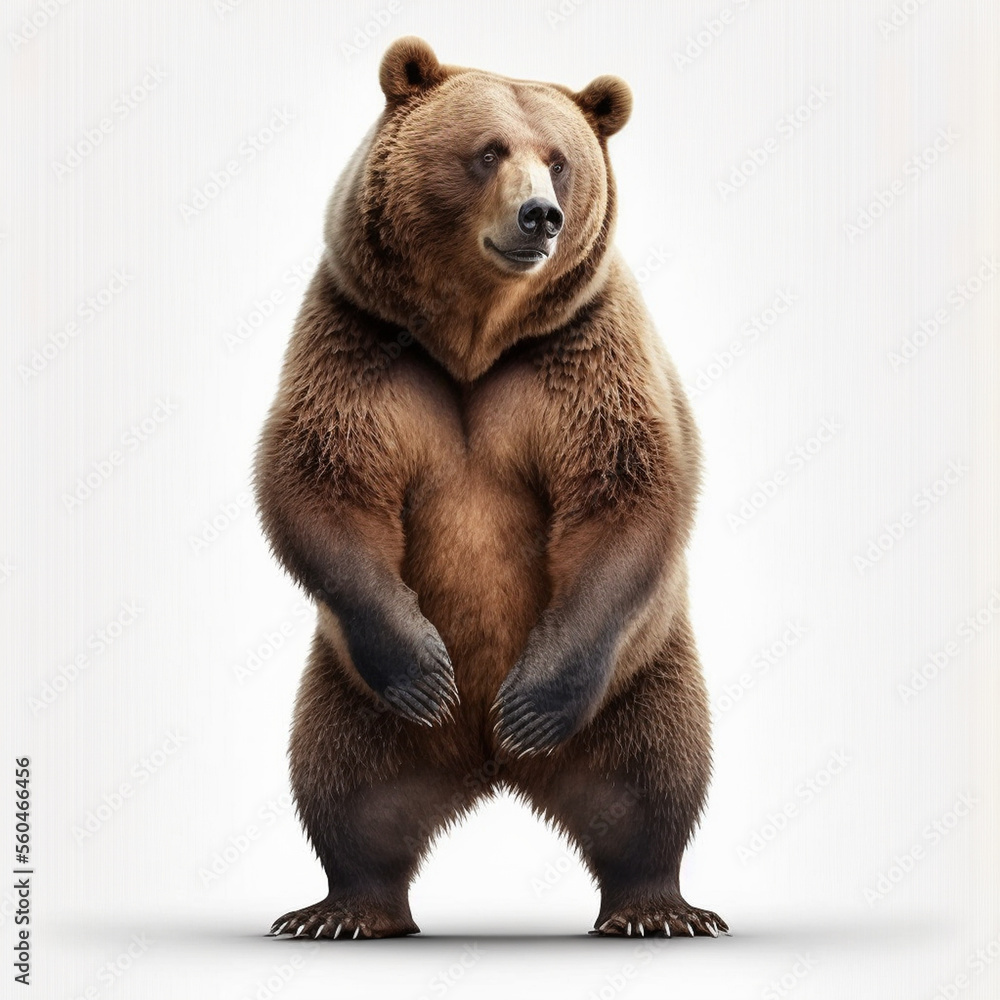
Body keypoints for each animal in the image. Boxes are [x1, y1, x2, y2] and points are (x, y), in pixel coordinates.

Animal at [256, 36, 727, 940]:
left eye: (560, 160)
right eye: (487, 152)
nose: (538, 215)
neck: (476, 341)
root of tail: (488, 766)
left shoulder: (584, 352)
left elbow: (628, 490)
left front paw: (535, 703)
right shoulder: (362, 343)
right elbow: (320, 482)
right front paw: (425, 673)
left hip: (639, 679)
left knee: (657, 770)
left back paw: (656, 904)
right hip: (350, 693)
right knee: (342, 781)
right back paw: (345, 907)